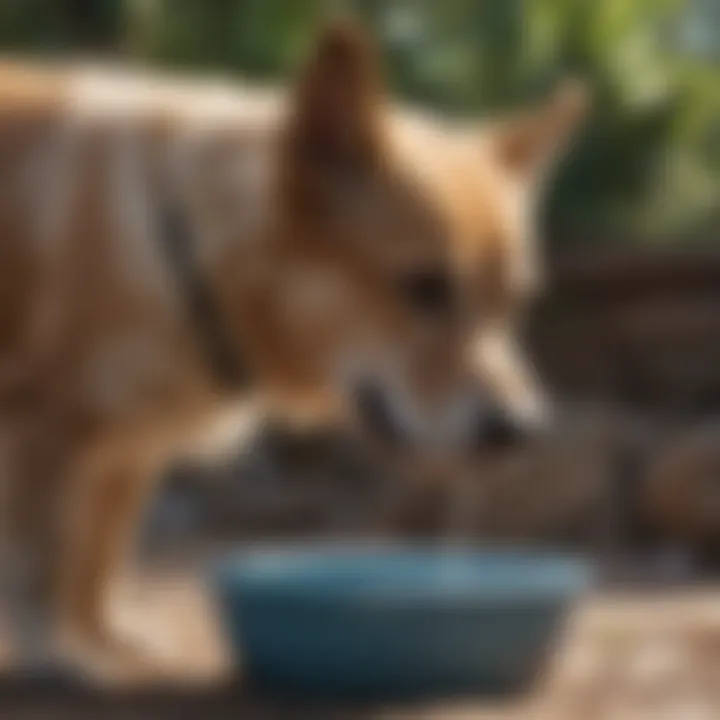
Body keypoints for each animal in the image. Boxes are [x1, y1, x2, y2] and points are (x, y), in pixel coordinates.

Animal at [0, 19, 588, 676]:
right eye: (425, 287)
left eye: (515, 302)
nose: (521, 430)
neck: (187, 254)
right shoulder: (47, 430)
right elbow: (41, 558)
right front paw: (54, 654)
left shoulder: (125, 453)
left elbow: (96, 559)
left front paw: (101, 639)